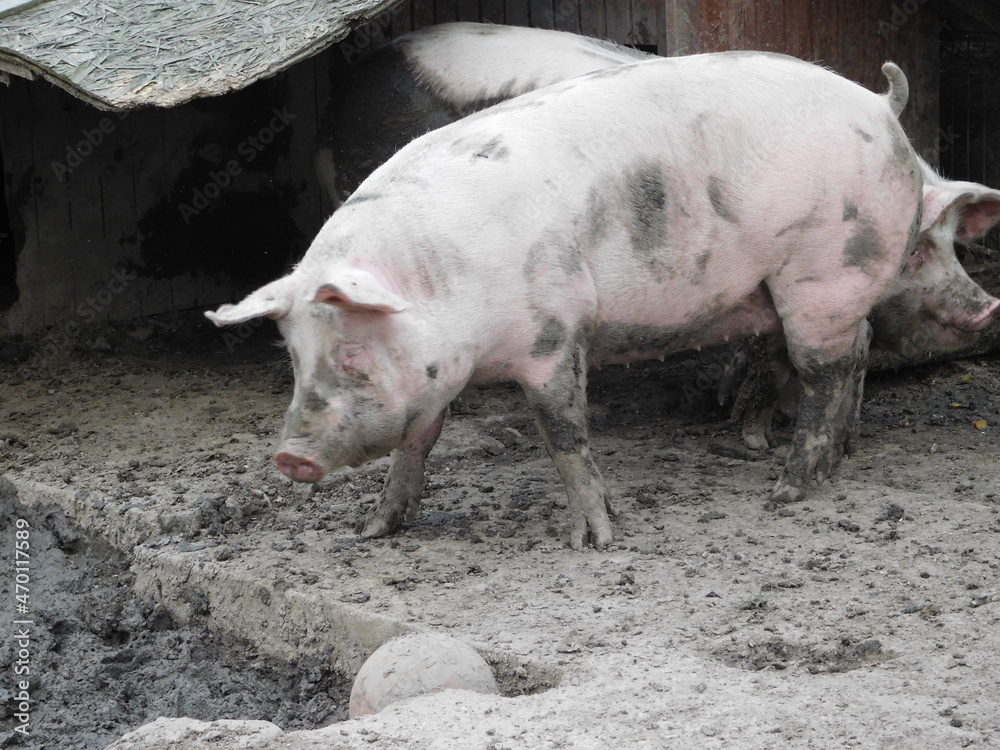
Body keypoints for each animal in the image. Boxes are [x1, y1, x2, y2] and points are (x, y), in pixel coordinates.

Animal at [207, 51, 923, 550]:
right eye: (293, 357)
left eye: (353, 348)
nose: (291, 456)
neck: (443, 286)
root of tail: (881, 105)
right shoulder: (434, 379)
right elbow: (417, 442)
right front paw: (374, 530)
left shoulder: (553, 332)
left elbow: (564, 434)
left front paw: (594, 542)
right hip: (808, 288)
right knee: (857, 349)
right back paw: (833, 464)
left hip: (823, 271)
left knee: (824, 374)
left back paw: (787, 492)